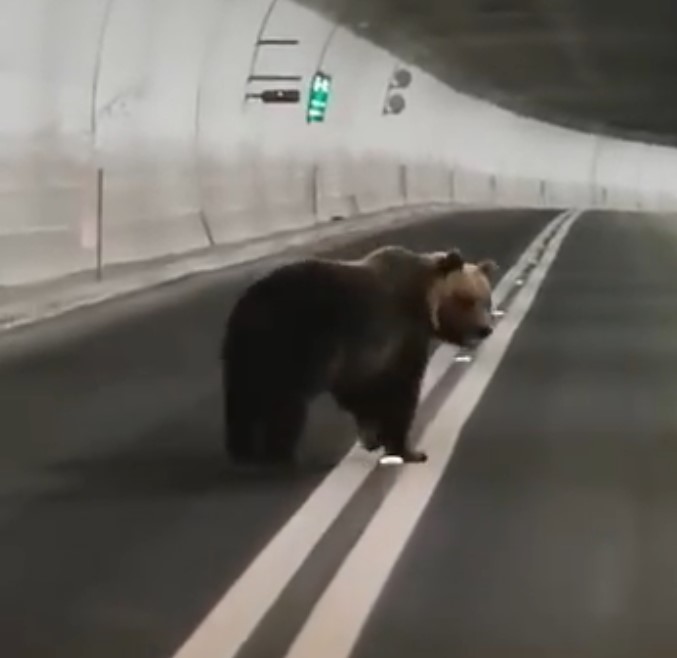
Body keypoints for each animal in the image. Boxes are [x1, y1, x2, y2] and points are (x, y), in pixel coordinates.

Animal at [220, 245, 499, 467]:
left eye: (486, 300)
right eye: (466, 299)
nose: (485, 329)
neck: (424, 301)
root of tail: (250, 304)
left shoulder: (361, 355)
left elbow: (359, 389)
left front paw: (373, 437)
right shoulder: (397, 337)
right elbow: (401, 390)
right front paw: (409, 450)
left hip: (245, 351)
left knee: (243, 398)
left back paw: (243, 451)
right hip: (295, 339)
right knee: (287, 399)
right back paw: (286, 457)